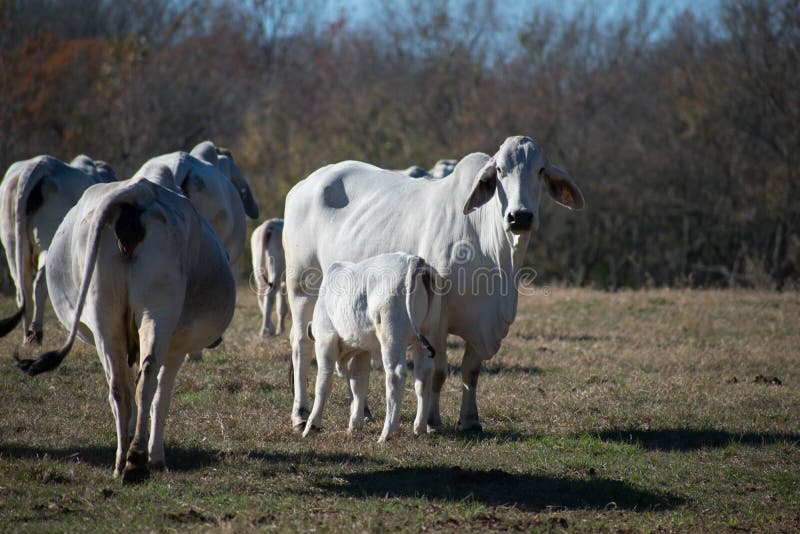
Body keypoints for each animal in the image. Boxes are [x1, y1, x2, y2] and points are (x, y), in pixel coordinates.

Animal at [0, 155, 117, 345]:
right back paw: (36, 333)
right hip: (47, 246)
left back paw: (27, 335)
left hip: (11, 245)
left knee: (22, 290)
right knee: (39, 285)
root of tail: (38, 166)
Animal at [14, 169, 236, 483]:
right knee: (147, 380)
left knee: (120, 386)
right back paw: (139, 459)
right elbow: (161, 398)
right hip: (158, 312)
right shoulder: (176, 349)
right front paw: (157, 456)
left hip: (104, 318)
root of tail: (137, 194)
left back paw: (123, 461)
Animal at [303, 252, 440, 442]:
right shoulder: (363, 350)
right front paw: (355, 423)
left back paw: (386, 433)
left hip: (391, 337)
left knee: (395, 374)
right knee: (423, 374)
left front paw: (311, 426)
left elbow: (322, 384)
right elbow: (358, 382)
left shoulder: (326, 341)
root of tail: (414, 260)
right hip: (428, 333)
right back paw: (418, 427)